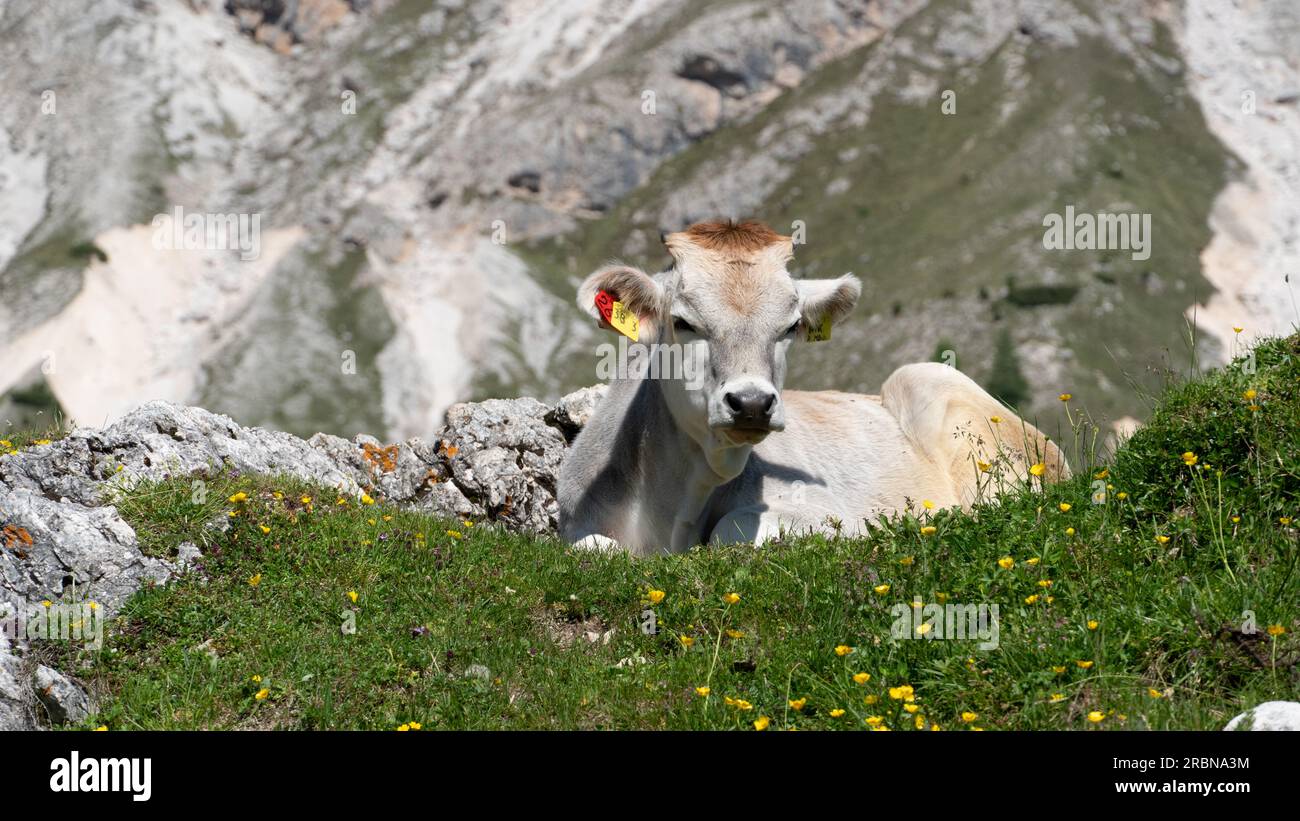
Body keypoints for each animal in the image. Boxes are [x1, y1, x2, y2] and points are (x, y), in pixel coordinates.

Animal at [557, 220, 1068, 556]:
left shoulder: (819, 511)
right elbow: (592, 547)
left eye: (789, 327)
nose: (751, 403)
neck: (669, 514)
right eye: (683, 322)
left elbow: (731, 530)